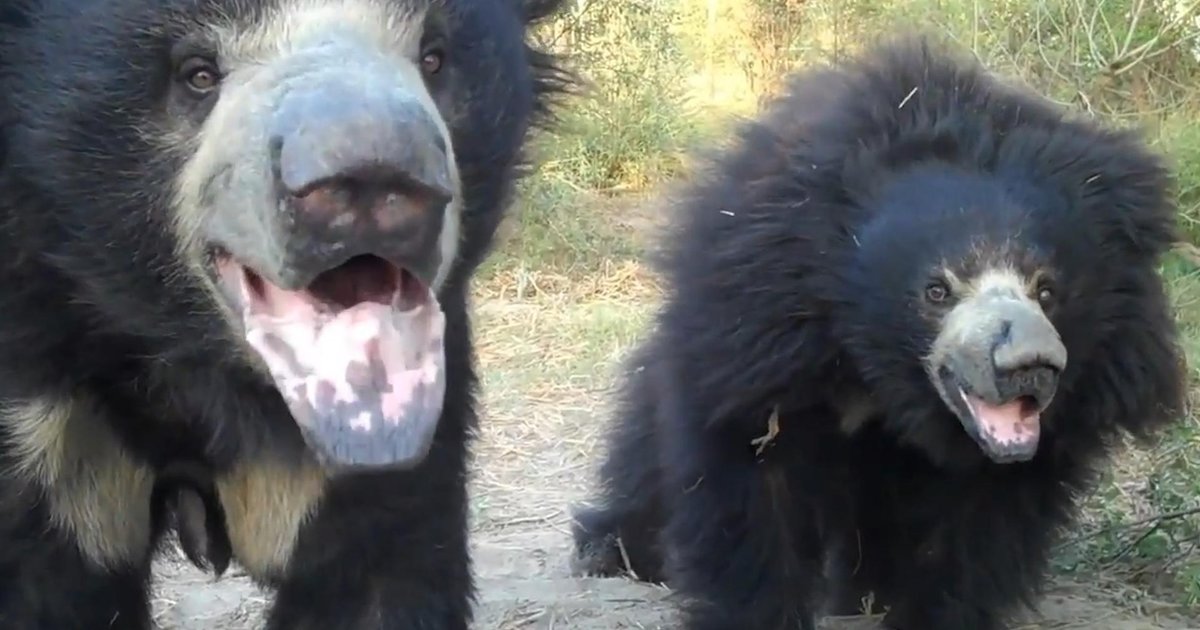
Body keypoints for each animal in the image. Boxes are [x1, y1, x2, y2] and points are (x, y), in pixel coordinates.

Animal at [570, 34, 1188, 630]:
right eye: (936, 290)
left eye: (1047, 289)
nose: (1028, 366)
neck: (881, 364)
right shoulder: (757, 334)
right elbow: (752, 477)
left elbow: (978, 527)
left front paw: (931, 612)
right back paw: (612, 549)